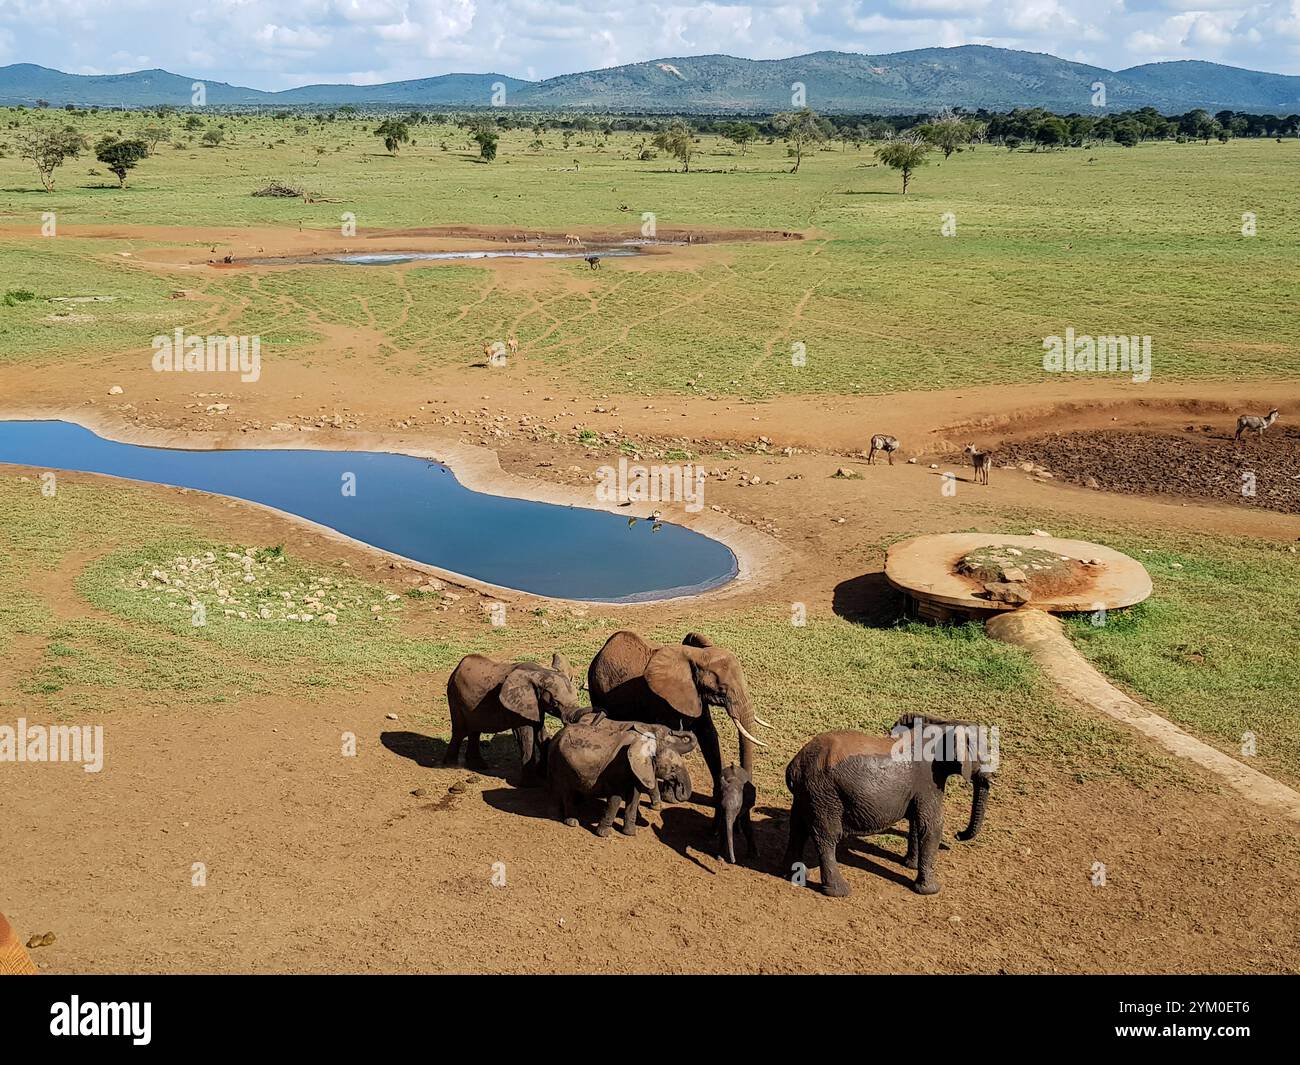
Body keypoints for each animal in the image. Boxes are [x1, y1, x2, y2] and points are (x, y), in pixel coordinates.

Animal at [444, 652, 582, 781]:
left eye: (577, 696)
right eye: (555, 703)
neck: (540, 672)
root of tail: (458, 667)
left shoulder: (534, 705)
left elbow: (541, 734)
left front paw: (542, 775)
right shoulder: (516, 707)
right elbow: (526, 737)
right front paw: (531, 784)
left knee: (474, 731)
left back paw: (479, 766)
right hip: (455, 697)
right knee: (460, 731)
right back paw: (451, 765)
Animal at [548, 717, 698, 837]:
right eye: (673, 768)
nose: (680, 789)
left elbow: (634, 797)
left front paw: (630, 833)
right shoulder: (618, 768)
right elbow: (615, 799)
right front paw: (603, 834)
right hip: (561, 763)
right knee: (567, 791)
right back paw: (572, 821)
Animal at [586, 631, 770, 820]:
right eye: (722, 689)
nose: (747, 801)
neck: (697, 656)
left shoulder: (695, 696)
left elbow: (709, 735)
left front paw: (718, 796)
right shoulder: (662, 700)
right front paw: (671, 799)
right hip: (597, 688)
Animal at [782, 714, 995, 897]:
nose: (958, 835)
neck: (943, 724)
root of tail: (795, 766)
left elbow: (917, 823)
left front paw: (909, 865)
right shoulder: (929, 782)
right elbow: (931, 826)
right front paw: (931, 890)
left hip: (807, 795)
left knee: (797, 829)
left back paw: (796, 876)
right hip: (824, 795)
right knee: (827, 838)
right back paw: (839, 891)